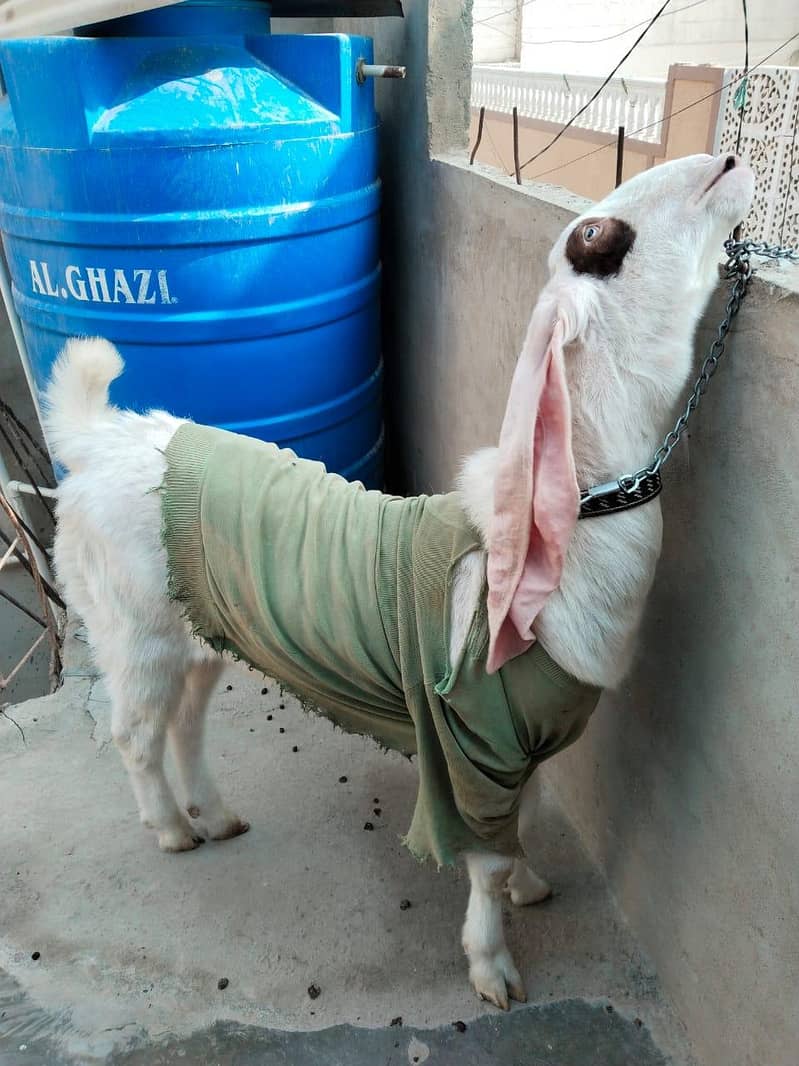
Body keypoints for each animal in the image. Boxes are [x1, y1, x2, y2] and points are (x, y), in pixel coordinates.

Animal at [44, 153, 753, 1009]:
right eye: (596, 237)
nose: (727, 162)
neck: (559, 528)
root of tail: (99, 439)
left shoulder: (514, 747)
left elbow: (513, 827)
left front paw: (530, 885)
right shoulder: (471, 740)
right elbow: (482, 857)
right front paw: (491, 965)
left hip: (200, 626)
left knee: (184, 721)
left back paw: (212, 816)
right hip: (131, 623)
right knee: (136, 731)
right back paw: (173, 830)